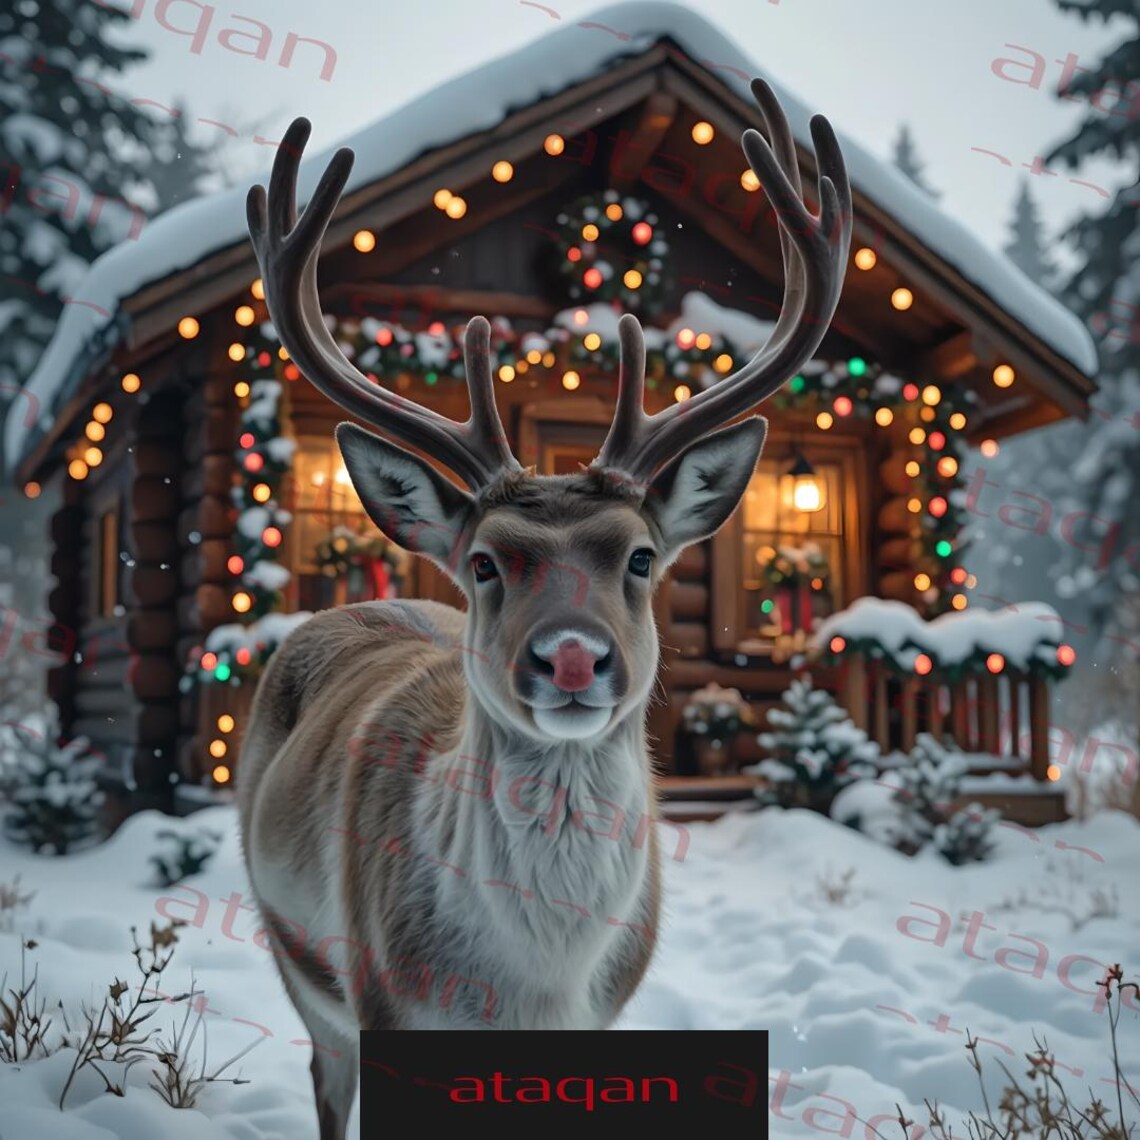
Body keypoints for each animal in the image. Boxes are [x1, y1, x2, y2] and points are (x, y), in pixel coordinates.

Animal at [237, 77, 850, 1140]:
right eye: (486, 563)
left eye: (640, 556)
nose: (570, 657)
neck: (530, 986)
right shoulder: (385, 1000)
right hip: (299, 957)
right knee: (323, 1078)